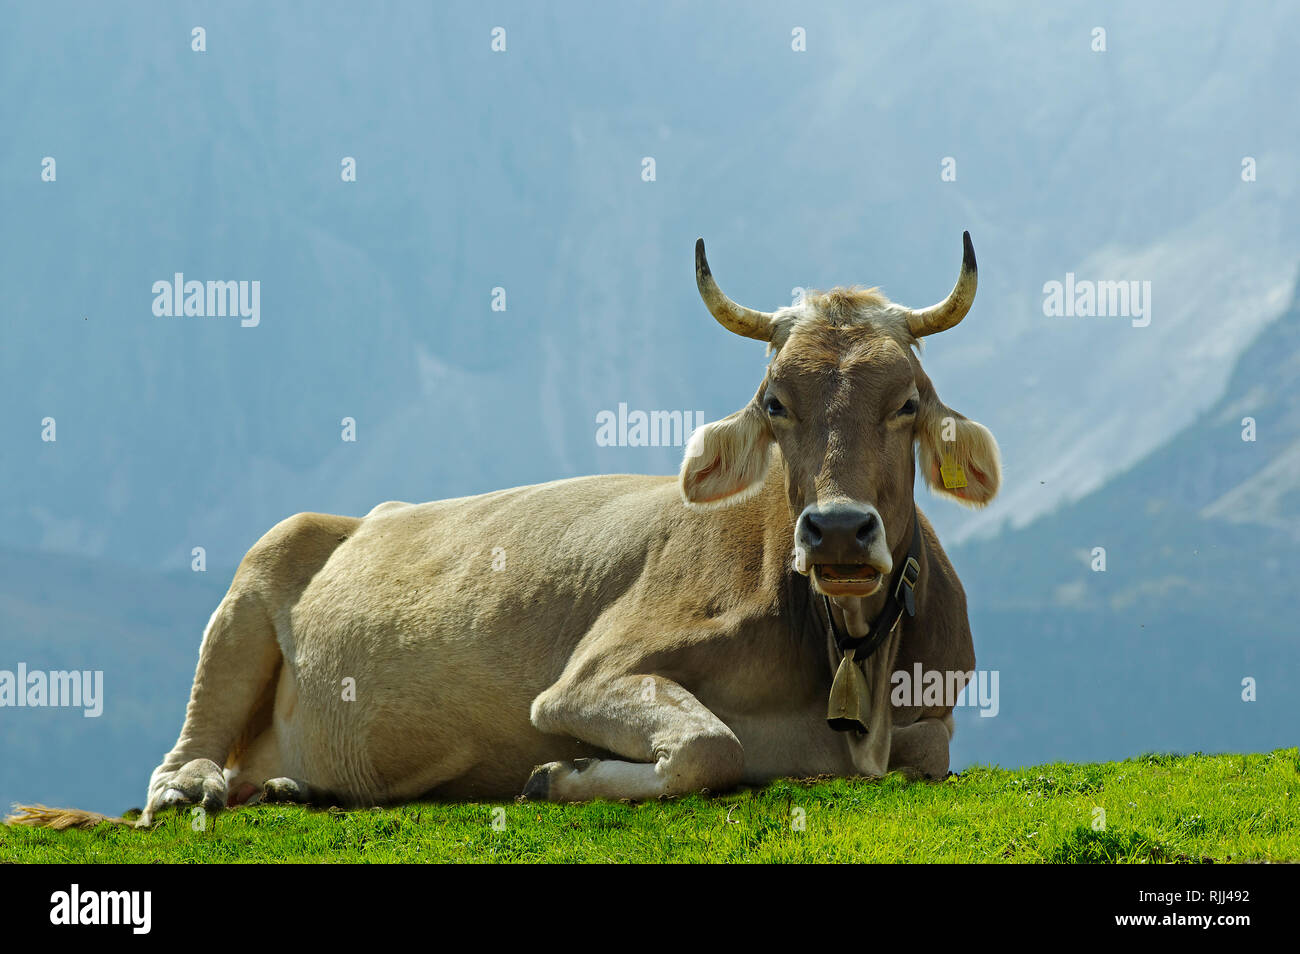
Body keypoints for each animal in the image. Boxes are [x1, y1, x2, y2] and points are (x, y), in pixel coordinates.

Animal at [8, 233, 1000, 829]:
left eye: (908, 402)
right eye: (774, 403)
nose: (836, 532)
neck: (846, 659)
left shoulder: (932, 734)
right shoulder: (585, 680)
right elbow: (709, 748)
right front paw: (559, 776)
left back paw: (291, 784)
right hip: (261, 568)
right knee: (184, 748)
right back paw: (198, 785)